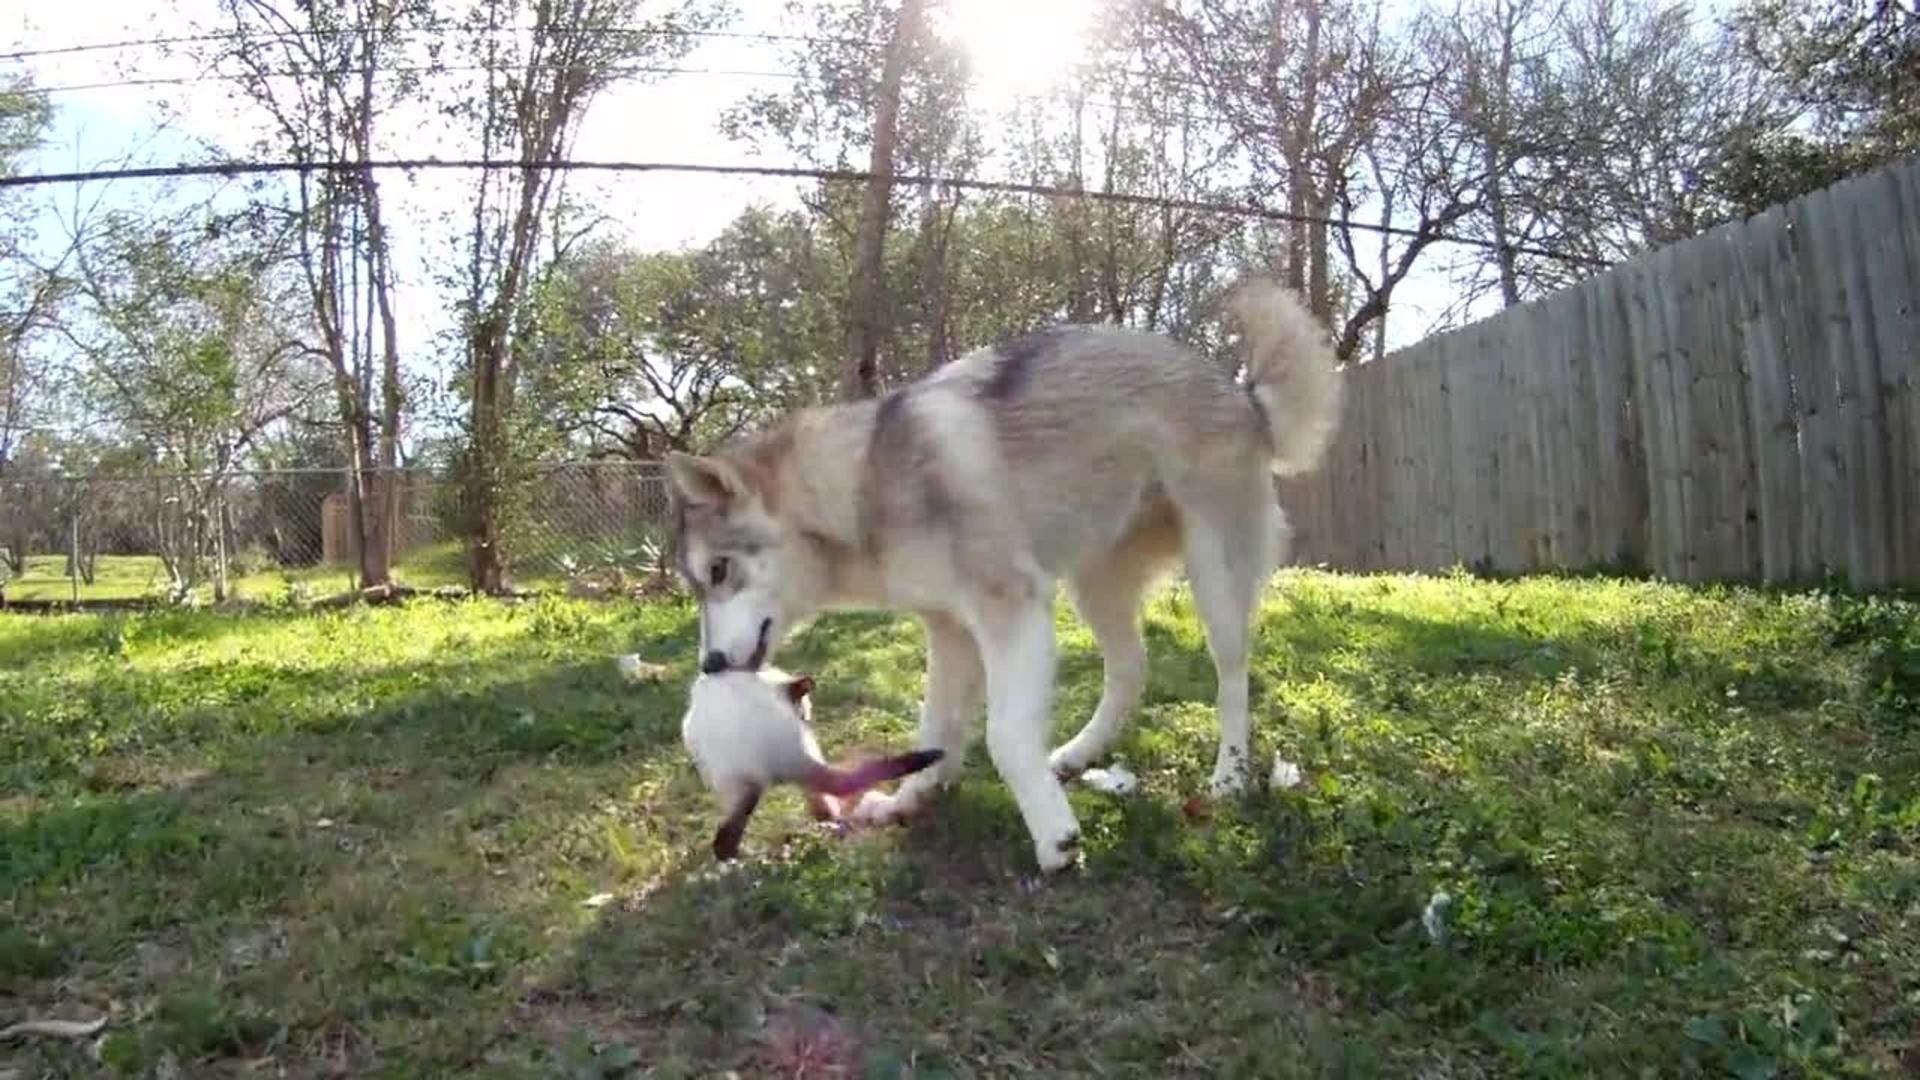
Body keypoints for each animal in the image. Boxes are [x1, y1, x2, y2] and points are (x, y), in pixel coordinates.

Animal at [664, 276, 1342, 872]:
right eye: (697, 585)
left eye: (718, 571)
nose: (710, 665)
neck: (864, 487)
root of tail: (1243, 394)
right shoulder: (951, 631)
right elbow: (938, 725)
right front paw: (912, 796)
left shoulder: (1011, 616)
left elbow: (1005, 738)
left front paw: (1054, 838)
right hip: (1093, 585)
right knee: (1130, 669)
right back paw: (1079, 753)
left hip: (1213, 579)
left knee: (1231, 679)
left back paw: (1228, 775)